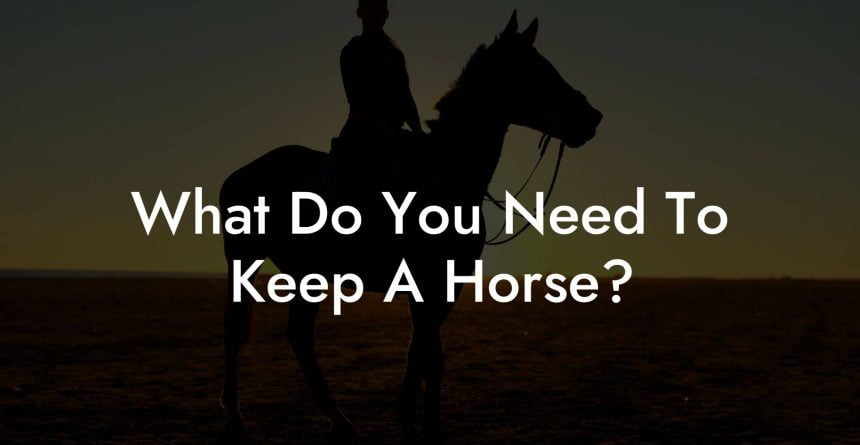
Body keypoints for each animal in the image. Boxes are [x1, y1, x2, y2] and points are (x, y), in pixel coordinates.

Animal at [219, 11, 602, 443]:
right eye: (535, 69)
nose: (591, 118)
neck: (444, 174)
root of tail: (241, 173)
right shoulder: (425, 281)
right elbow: (425, 355)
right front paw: (417, 423)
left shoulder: (444, 285)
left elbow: (425, 355)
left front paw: (419, 422)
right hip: (244, 259)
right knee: (236, 330)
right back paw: (236, 418)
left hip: (308, 273)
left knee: (299, 335)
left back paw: (339, 419)